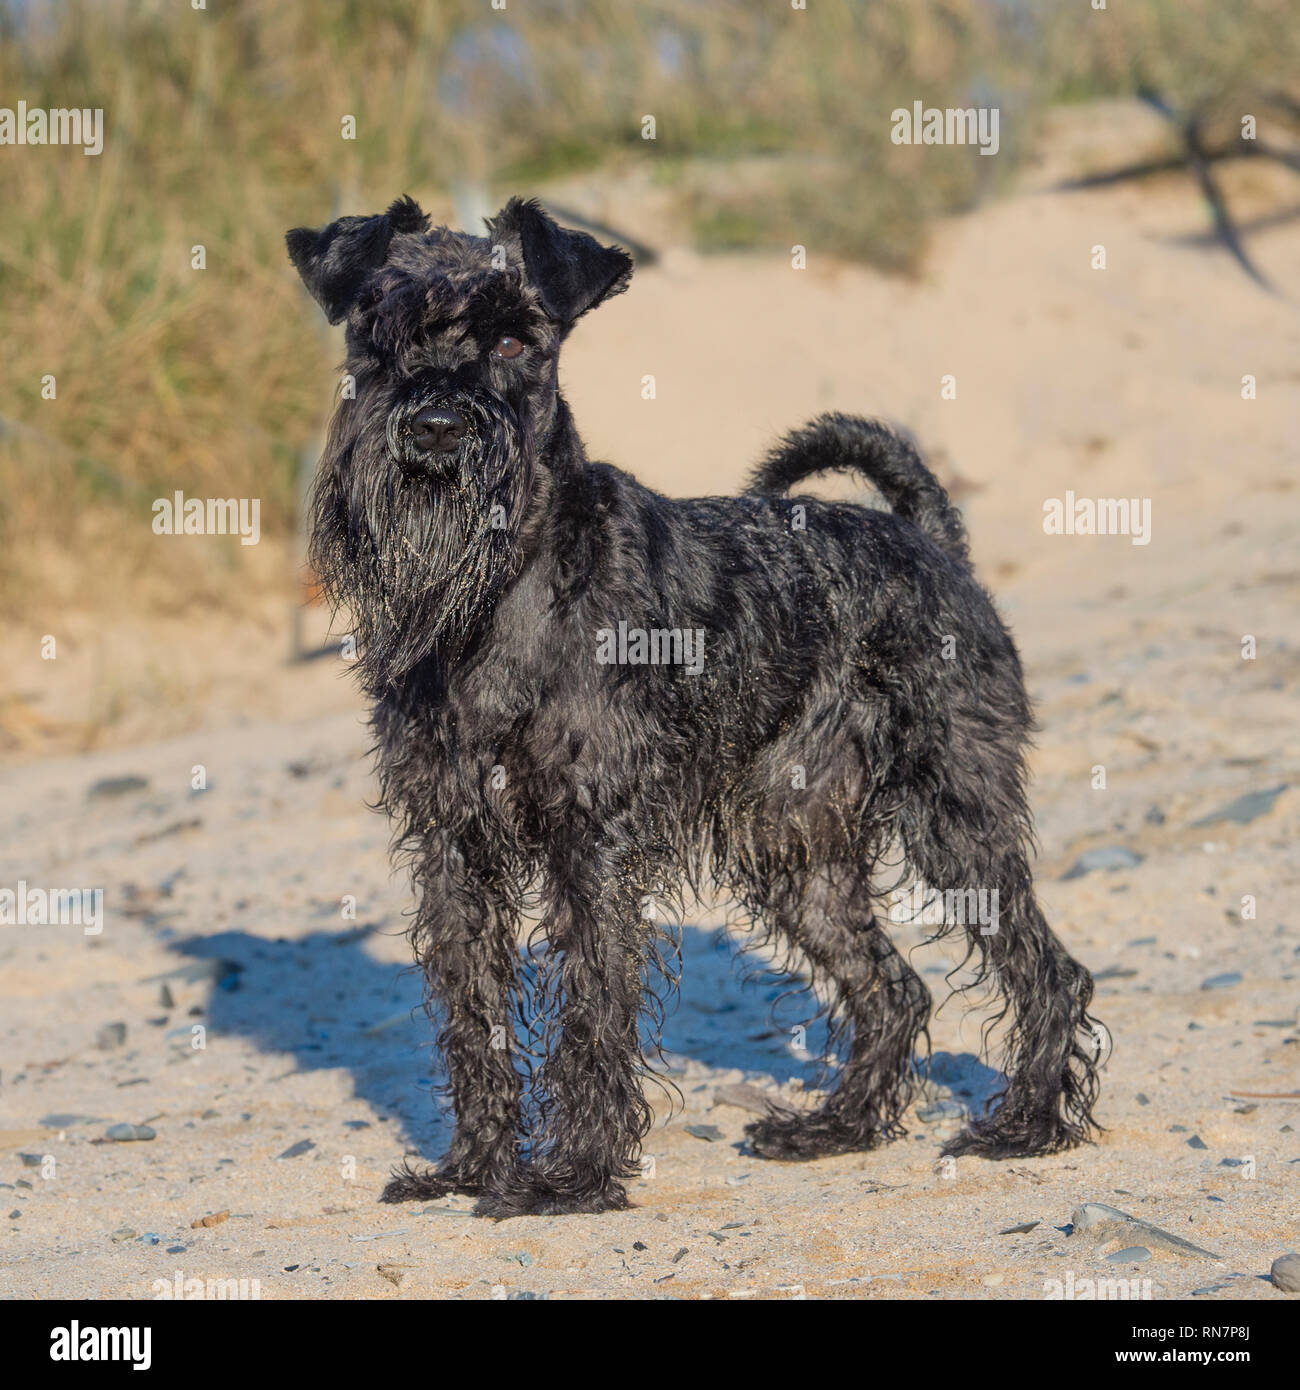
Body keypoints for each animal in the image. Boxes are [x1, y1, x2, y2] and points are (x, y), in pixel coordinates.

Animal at [289, 195, 1101, 1217]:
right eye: (375, 331)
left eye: (516, 341)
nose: (435, 427)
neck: (496, 600)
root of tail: (927, 537)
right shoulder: (453, 844)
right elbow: (472, 1010)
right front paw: (468, 1168)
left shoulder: (590, 840)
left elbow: (593, 1012)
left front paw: (572, 1177)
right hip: (795, 851)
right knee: (894, 989)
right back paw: (836, 1127)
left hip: (957, 814)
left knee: (1046, 970)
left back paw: (1026, 1124)